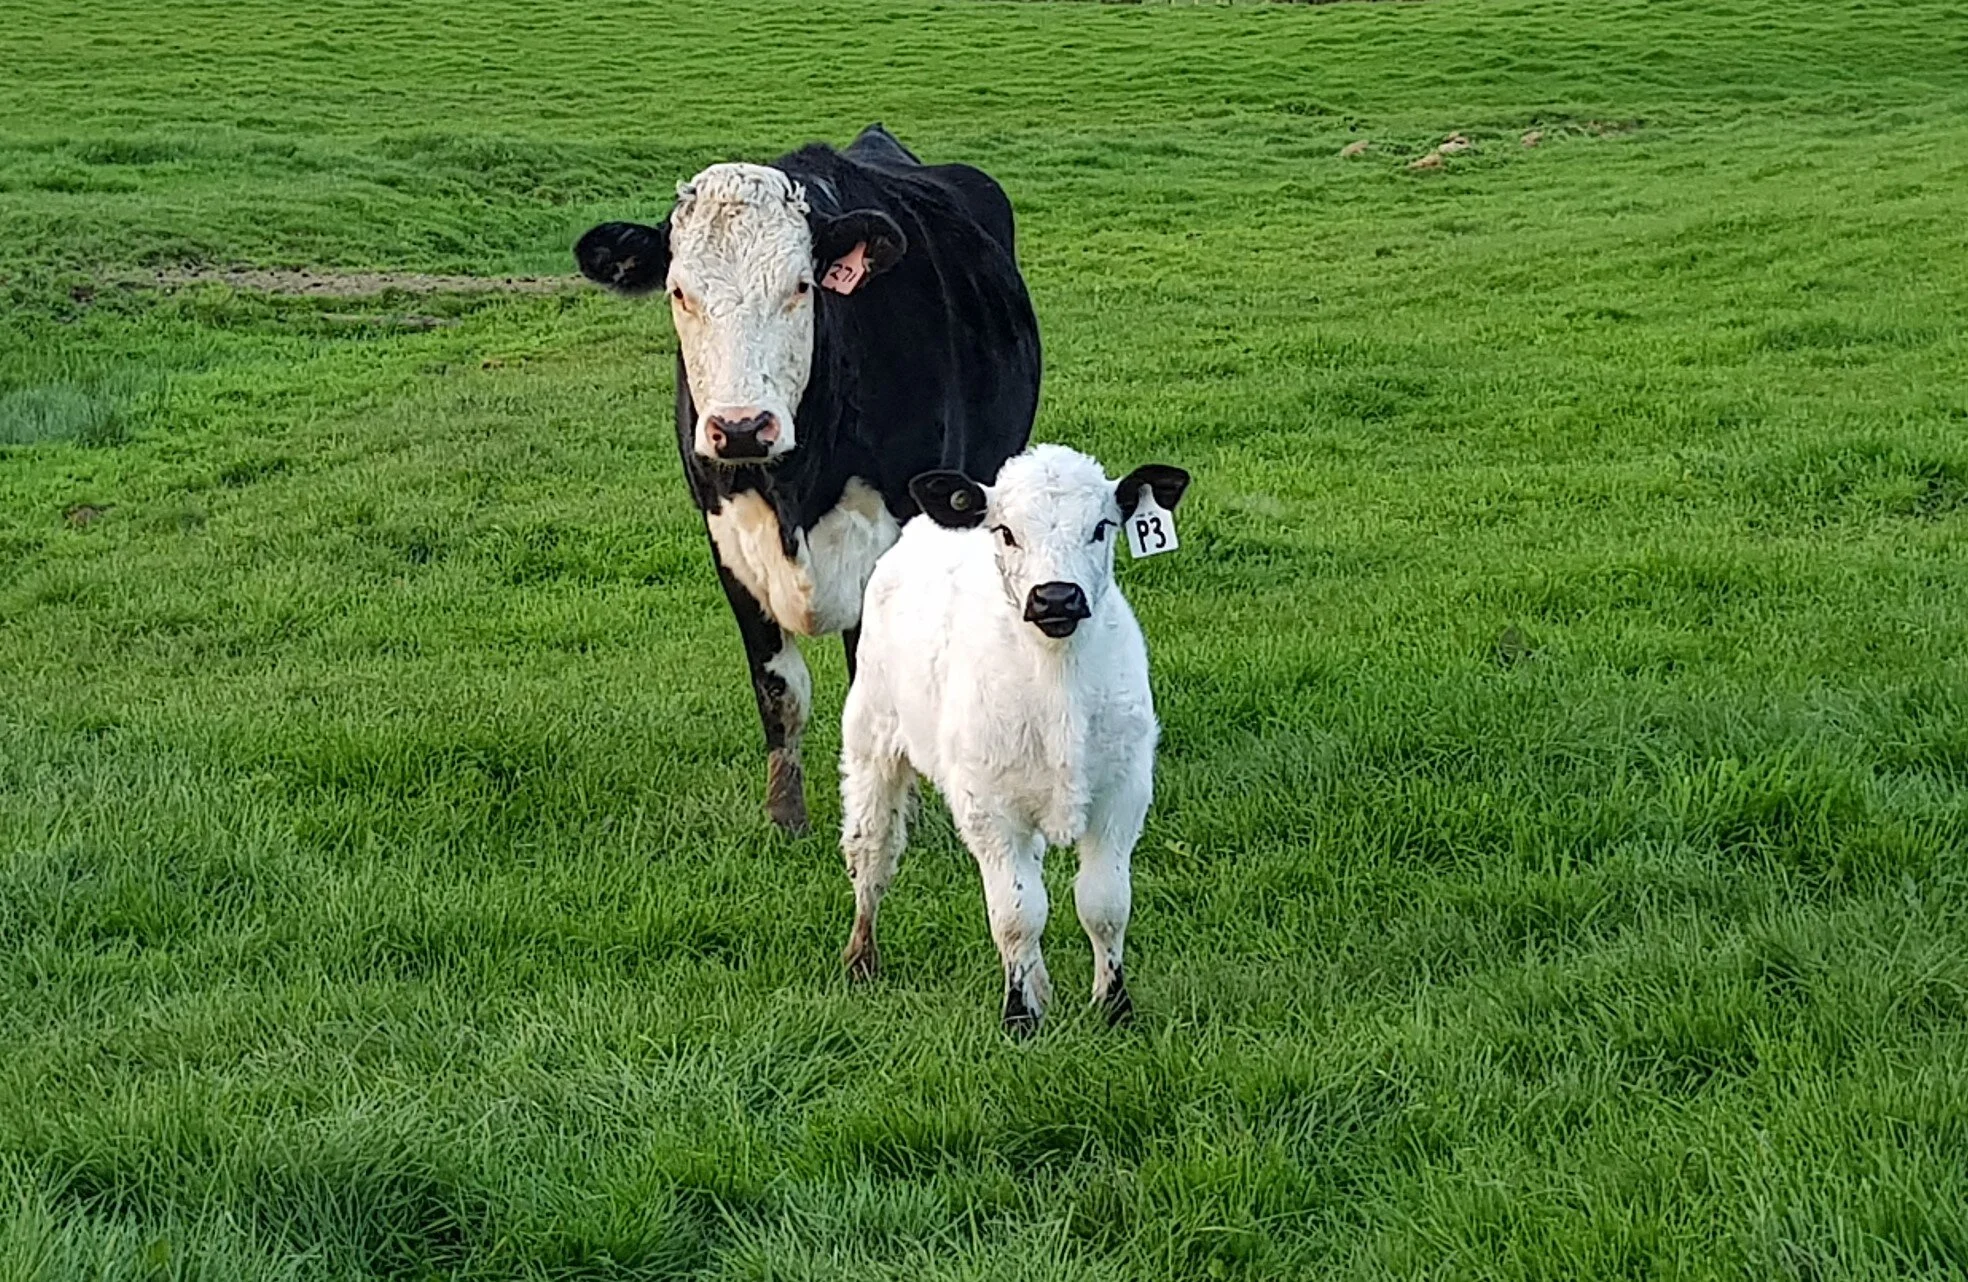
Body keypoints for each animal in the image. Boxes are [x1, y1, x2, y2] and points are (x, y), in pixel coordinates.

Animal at [574, 124, 1042, 831]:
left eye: (801, 286)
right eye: (680, 291)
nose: (741, 427)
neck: (793, 486)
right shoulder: (727, 545)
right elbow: (779, 689)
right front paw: (785, 814)